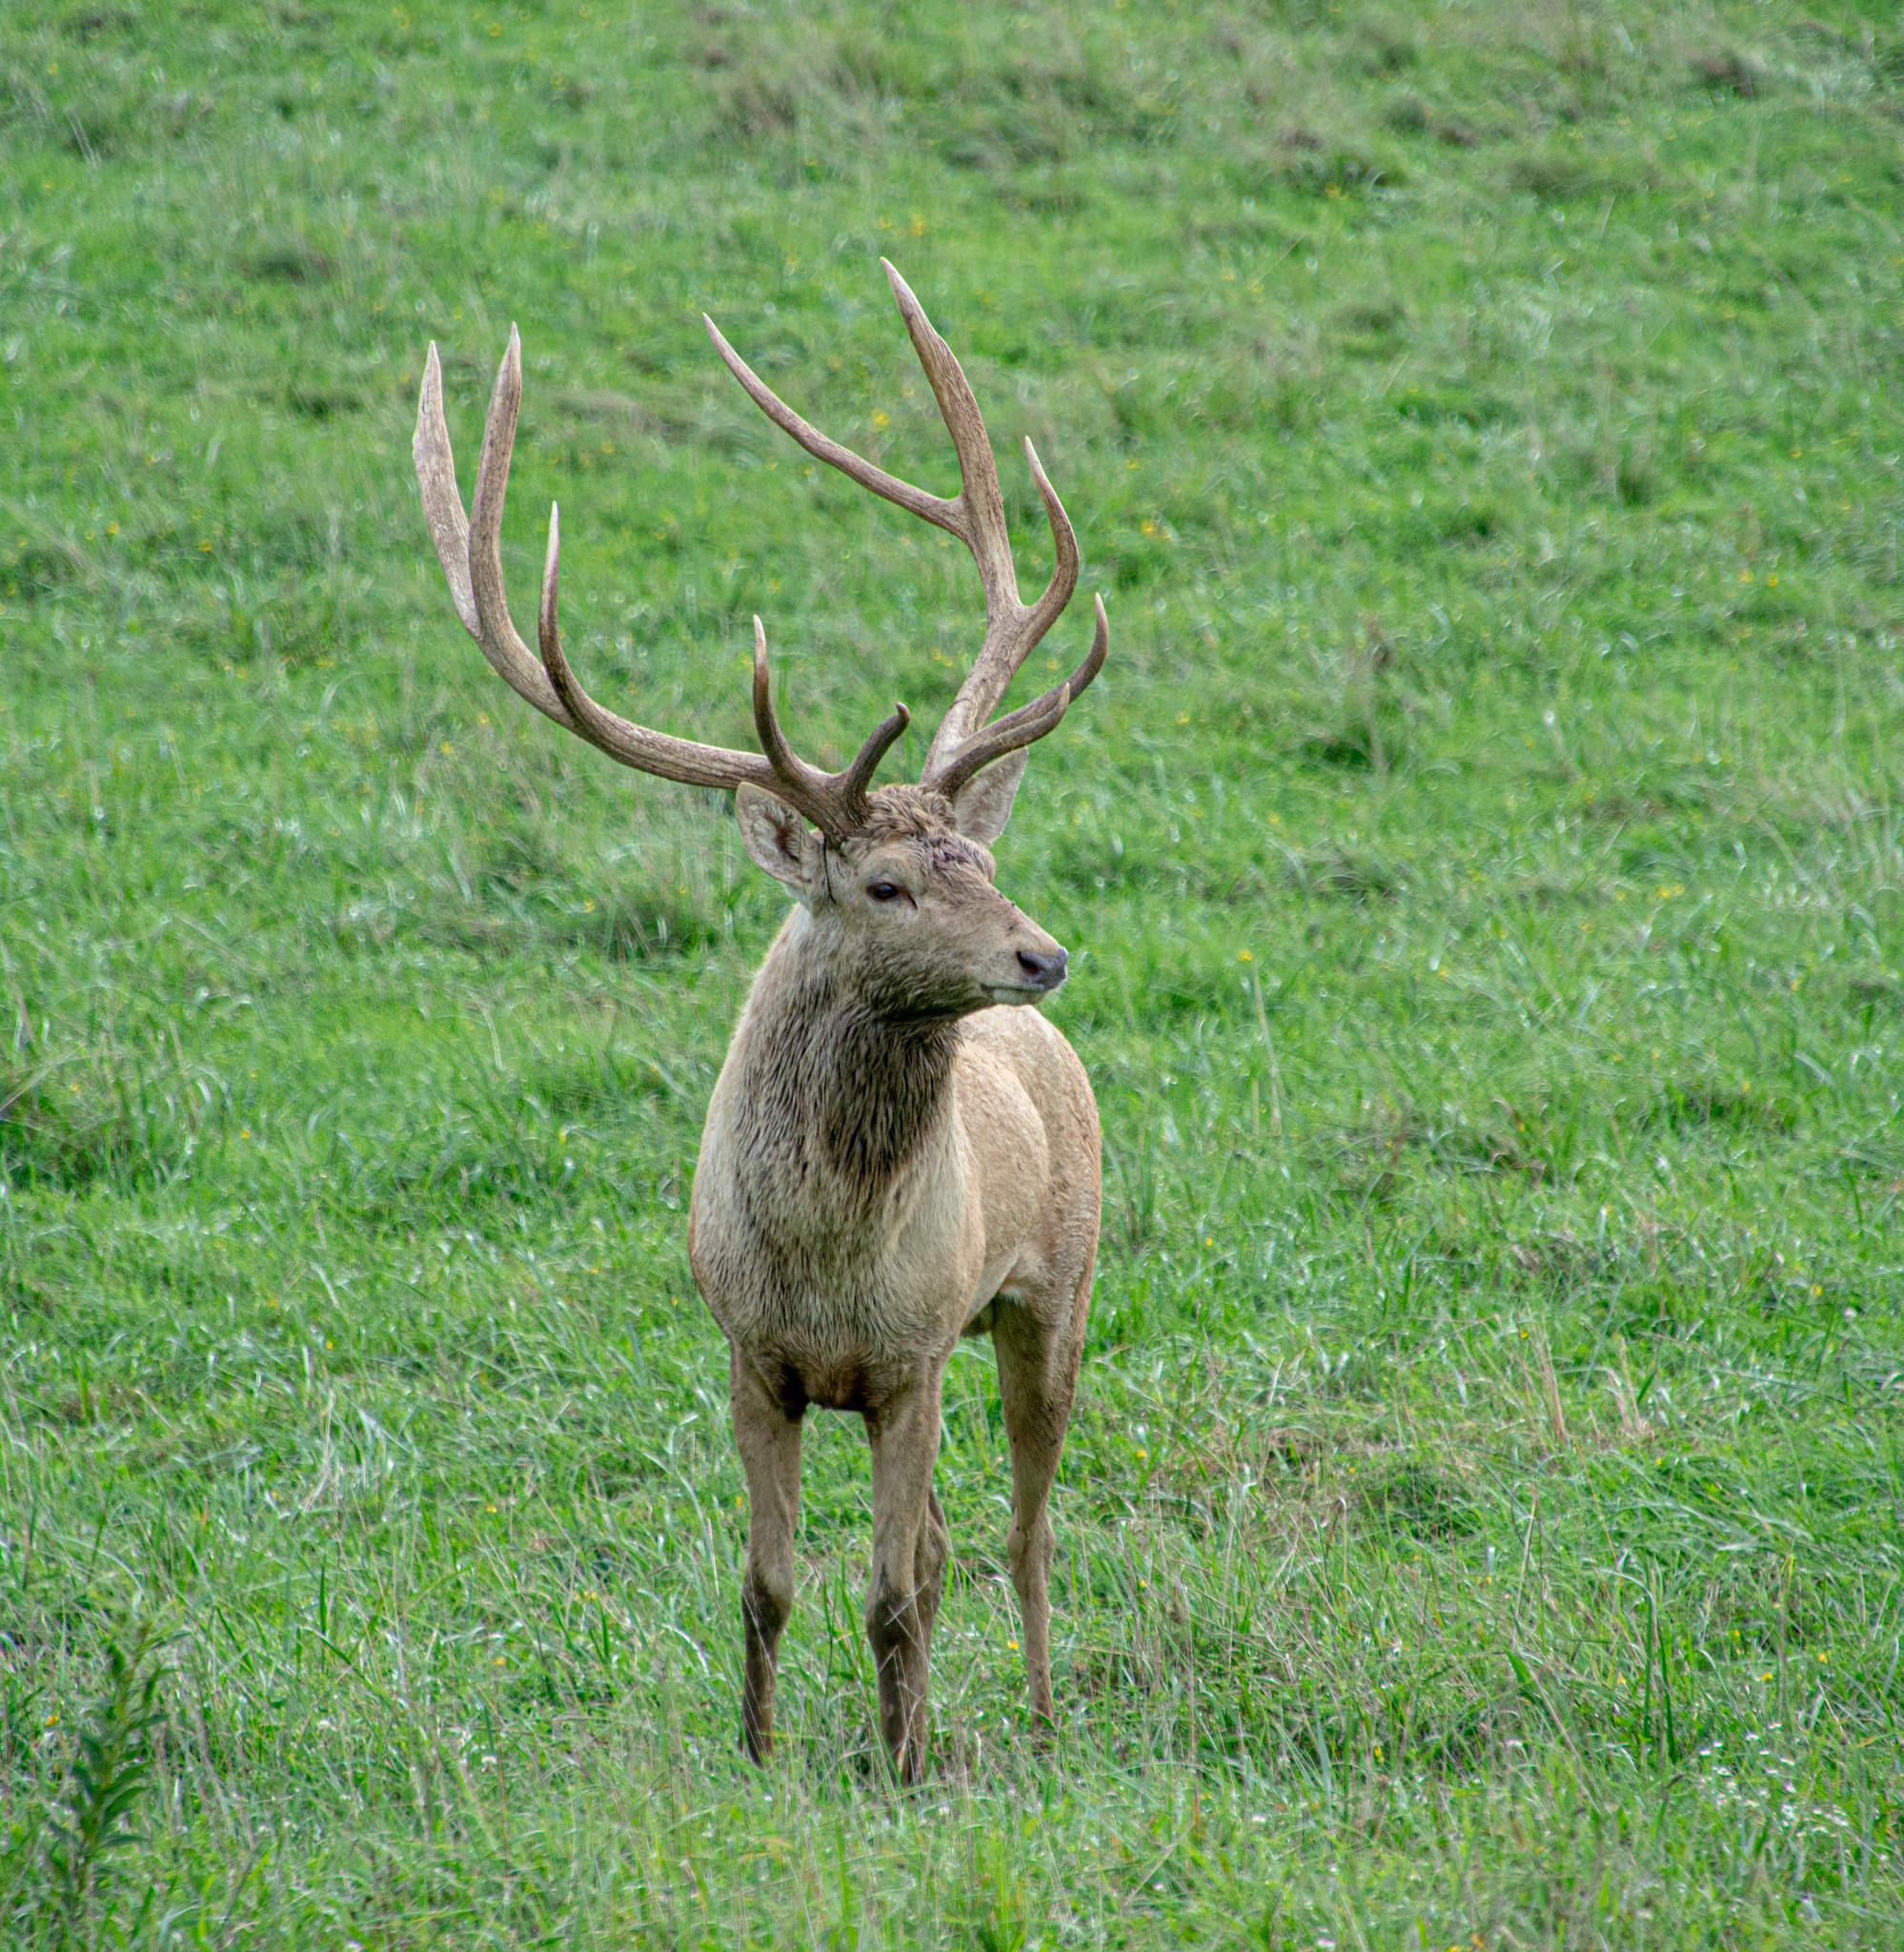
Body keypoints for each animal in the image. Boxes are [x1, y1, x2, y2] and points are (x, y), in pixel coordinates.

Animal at [411, 261, 1106, 1785]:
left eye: (978, 856)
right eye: (888, 881)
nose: (1040, 950)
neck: (827, 1262)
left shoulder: (910, 1353)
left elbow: (893, 1591)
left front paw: (900, 1771)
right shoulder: (747, 1349)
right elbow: (771, 1582)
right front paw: (765, 1753)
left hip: (1056, 1291)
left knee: (1023, 1533)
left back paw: (1034, 1720)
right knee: (958, 1538)